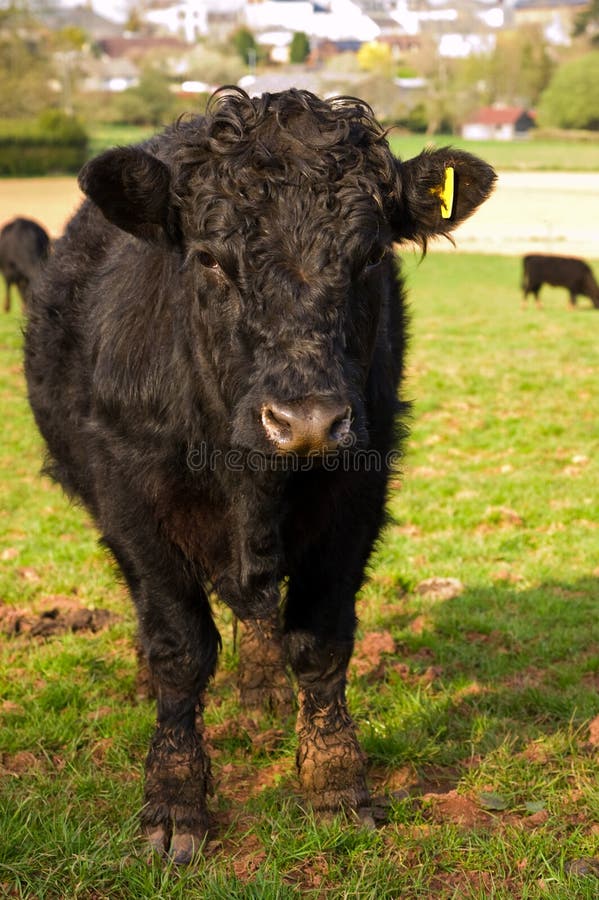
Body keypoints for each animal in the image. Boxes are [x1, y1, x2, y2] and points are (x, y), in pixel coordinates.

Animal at [24, 88, 495, 863]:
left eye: (370, 256)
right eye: (211, 260)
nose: (305, 421)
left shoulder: (355, 497)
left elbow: (319, 641)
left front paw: (336, 783)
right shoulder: (132, 502)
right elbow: (180, 649)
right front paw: (174, 801)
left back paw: (264, 691)